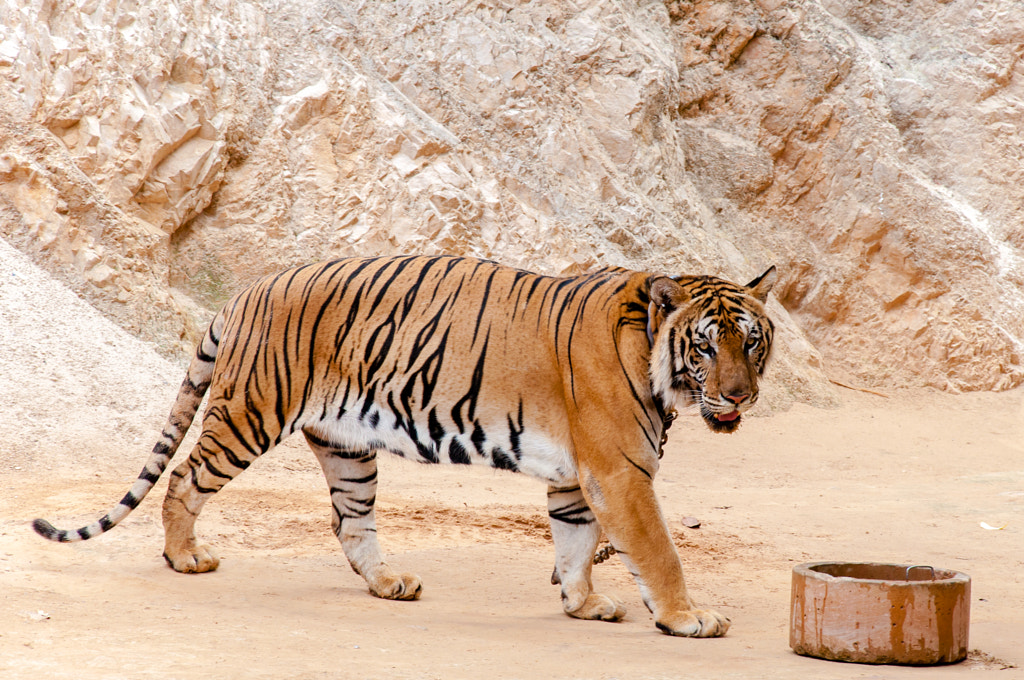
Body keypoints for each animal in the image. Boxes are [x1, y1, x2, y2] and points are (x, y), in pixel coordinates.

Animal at [33, 255, 776, 638]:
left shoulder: (575, 477)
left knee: (348, 521)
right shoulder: (619, 473)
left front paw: (583, 604)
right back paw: (186, 558)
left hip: (347, 448)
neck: (656, 360)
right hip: (250, 413)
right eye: (706, 345)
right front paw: (688, 617)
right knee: (185, 477)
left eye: (753, 341)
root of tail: (245, 291)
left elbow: (574, 544)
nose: (740, 396)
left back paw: (389, 583)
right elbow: (659, 552)